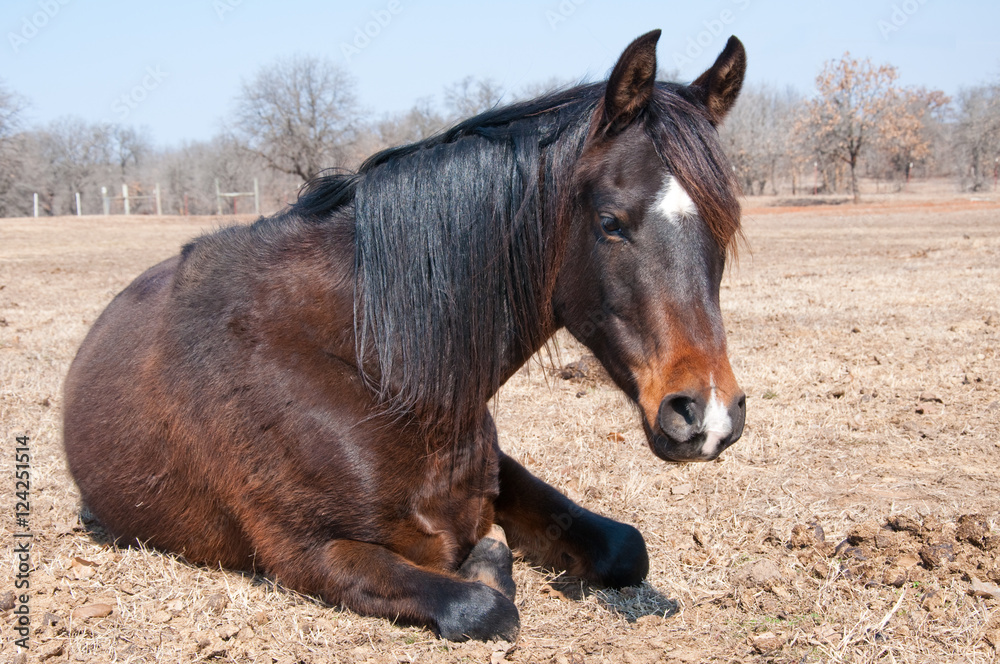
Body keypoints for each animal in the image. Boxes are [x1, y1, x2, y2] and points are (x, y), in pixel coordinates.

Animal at [63, 30, 747, 641]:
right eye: (610, 222)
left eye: (726, 221)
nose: (707, 414)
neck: (372, 371)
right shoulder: (304, 553)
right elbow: (482, 604)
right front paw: (488, 568)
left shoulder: (498, 471)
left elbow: (623, 547)